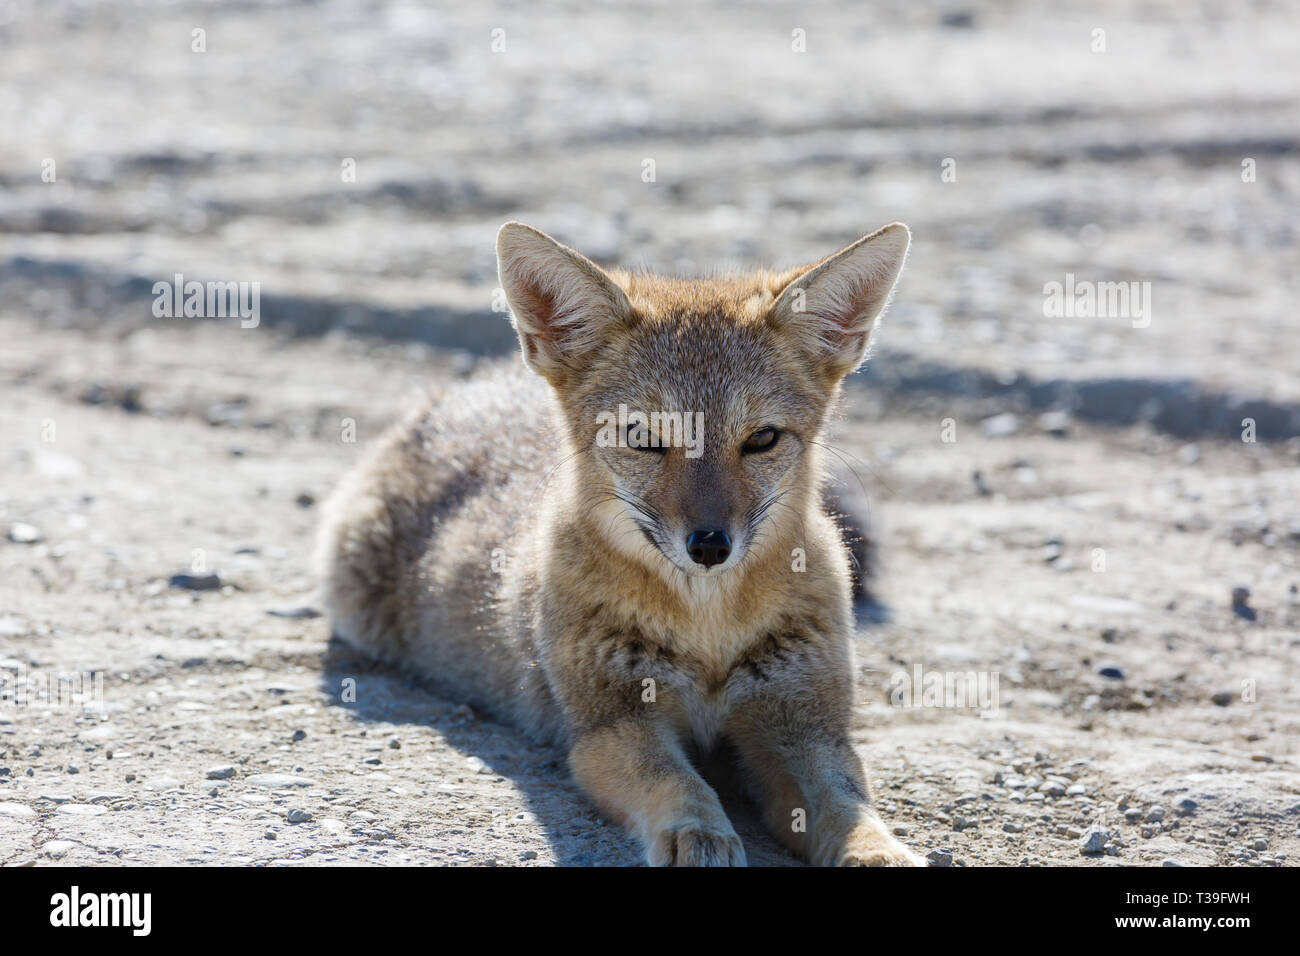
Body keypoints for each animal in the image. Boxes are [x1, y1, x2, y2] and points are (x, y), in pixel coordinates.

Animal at [316, 221, 922, 866]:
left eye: (761, 439)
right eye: (644, 437)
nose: (710, 546)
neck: (708, 633)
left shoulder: (805, 728)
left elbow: (844, 803)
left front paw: (878, 850)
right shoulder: (611, 728)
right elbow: (676, 780)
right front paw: (699, 834)